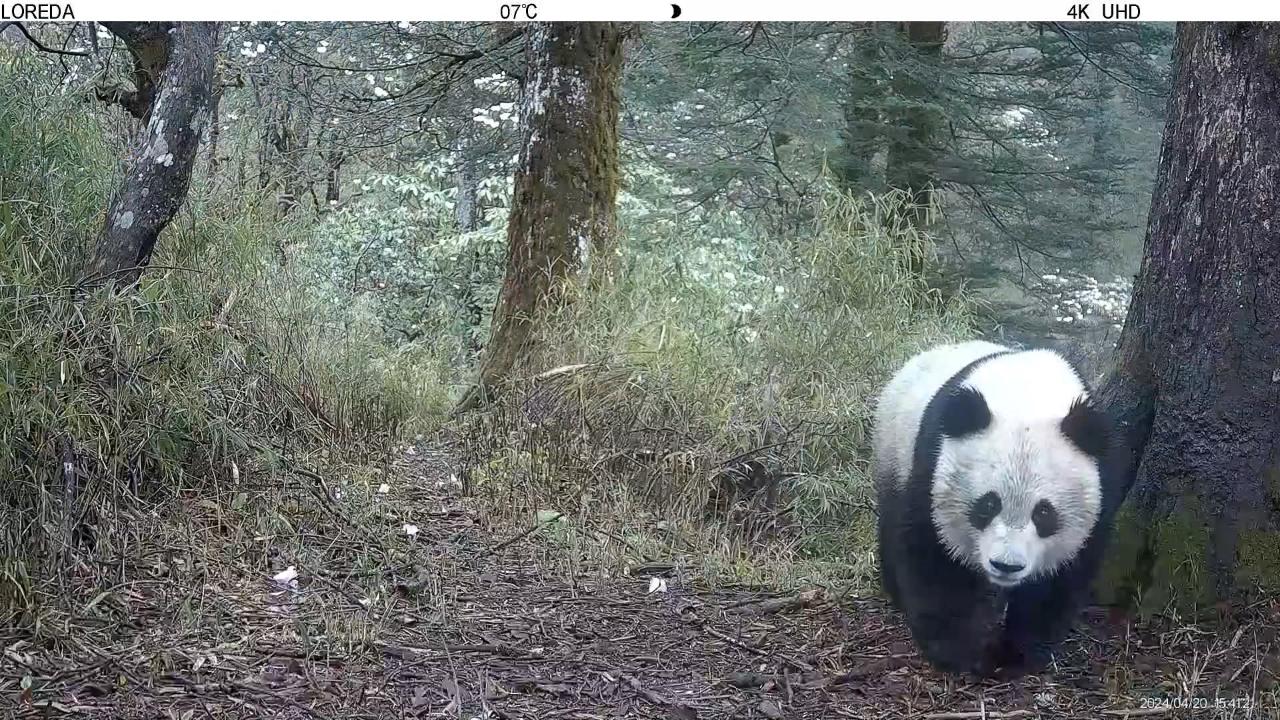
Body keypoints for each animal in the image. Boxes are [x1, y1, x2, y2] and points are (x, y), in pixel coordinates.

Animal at [872, 339, 1127, 678]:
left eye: (1044, 513)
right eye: (987, 504)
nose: (1006, 565)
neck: (1027, 398)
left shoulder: (1101, 484)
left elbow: (1057, 581)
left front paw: (1016, 654)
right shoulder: (932, 469)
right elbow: (934, 558)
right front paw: (959, 653)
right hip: (893, 450)